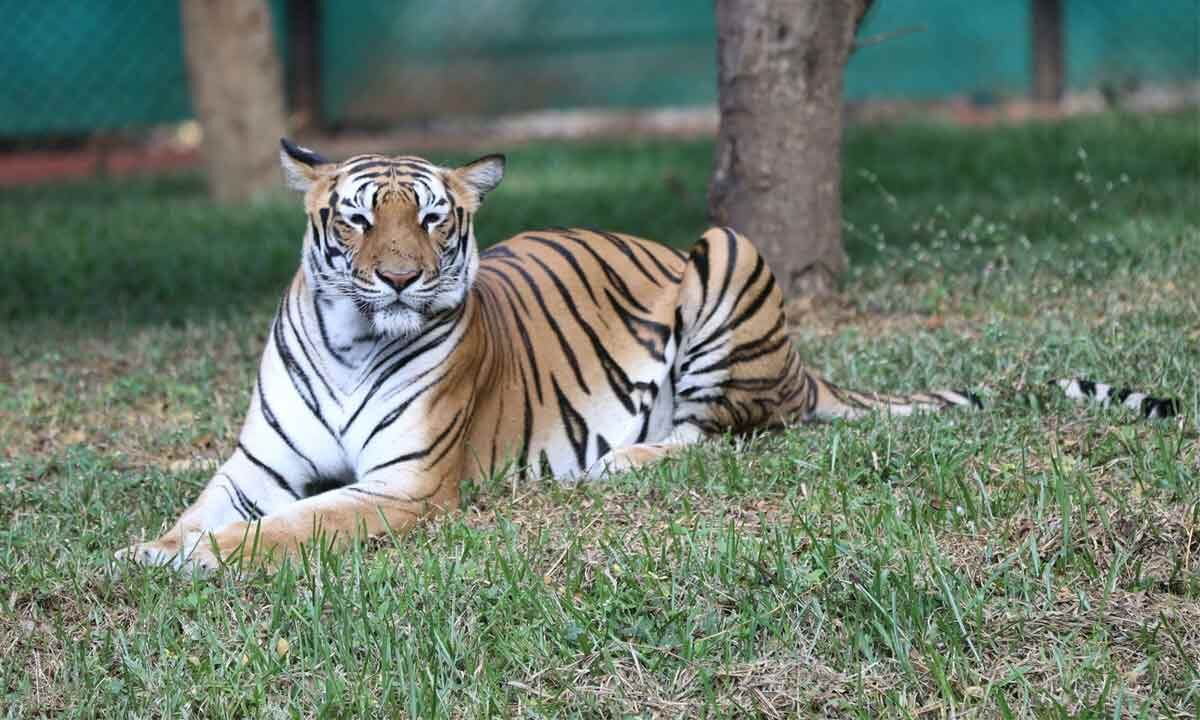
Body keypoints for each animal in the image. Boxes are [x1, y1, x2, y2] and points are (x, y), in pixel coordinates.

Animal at [117, 139, 1179, 572]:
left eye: (433, 220)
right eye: (355, 218)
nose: (401, 280)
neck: (351, 343)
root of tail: (804, 365)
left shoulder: (403, 486)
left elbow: (292, 526)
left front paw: (197, 559)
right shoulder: (255, 465)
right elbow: (207, 508)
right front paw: (149, 547)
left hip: (726, 257)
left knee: (725, 433)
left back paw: (624, 460)